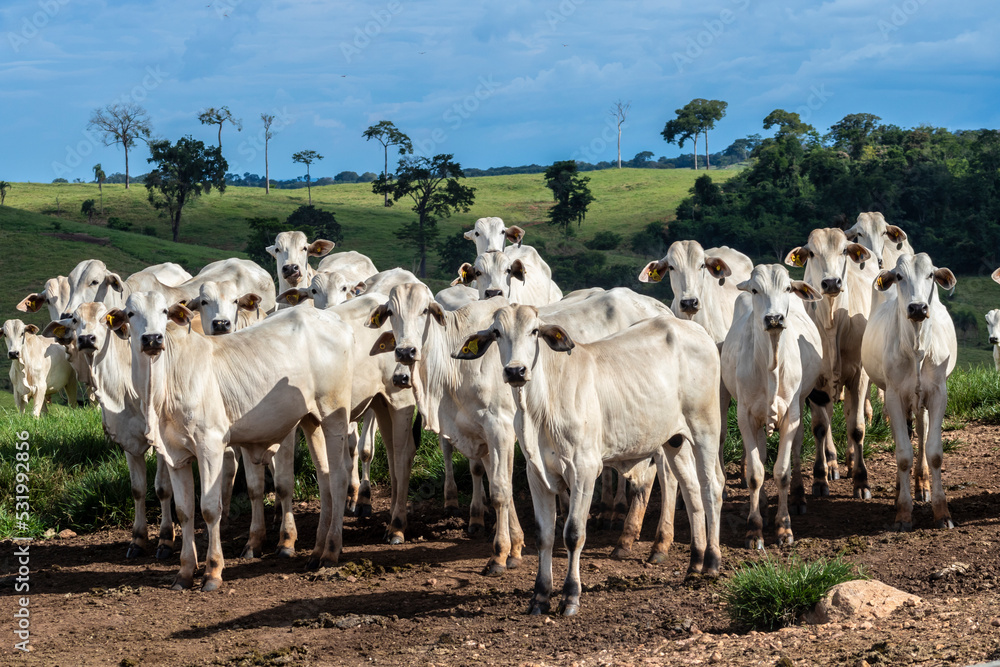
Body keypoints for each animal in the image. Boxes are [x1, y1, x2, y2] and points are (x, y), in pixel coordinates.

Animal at [108, 293, 355, 590]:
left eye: (164, 311)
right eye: (131, 313)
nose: (152, 339)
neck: (161, 389)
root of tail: (334, 320)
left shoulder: (210, 446)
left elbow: (209, 509)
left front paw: (213, 571)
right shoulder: (175, 455)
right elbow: (185, 511)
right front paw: (184, 572)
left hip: (334, 413)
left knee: (339, 477)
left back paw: (331, 550)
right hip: (311, 420)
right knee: (325, 476)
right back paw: (317, 552)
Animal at [454, 306, 723, 616]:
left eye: (534, 331)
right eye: (497, 332)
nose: (515, 370)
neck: (540, 409)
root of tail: (694, 329)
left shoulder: (583, 470)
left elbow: (573, 533)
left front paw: (570, 596)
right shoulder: (537, 474)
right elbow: (544, 535)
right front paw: (540, 596)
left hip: (705, 428)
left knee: (711, 488)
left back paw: (712, 562)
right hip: (674, 440)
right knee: (691, 491)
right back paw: (695, 563)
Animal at [721, 265, 824, 548]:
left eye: (787, 288)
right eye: (756, 290)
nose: (775, 318)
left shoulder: (792, 415)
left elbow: (782, 472)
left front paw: (784, 527)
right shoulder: (745, 416)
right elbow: (755, 473)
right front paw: (754, 529)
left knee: (796, 450)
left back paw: (798, 497)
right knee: (760, 454)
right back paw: (765, 508)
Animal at [786, 228, 878, 499]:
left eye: (844, 250)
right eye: (811, 253)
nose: (831, 283)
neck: (832, 319)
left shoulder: (859, 376)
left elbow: (856, 426)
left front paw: (861, 480)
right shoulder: (816, 382)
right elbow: (819, 427)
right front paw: (820, 478)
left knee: (848, 414)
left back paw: (850, 460)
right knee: (826, 420)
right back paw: (833, 462)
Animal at [861, 253, 958, 531]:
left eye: (930, 274)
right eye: (899, 276)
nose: (917, 308)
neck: (916, 347)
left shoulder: (938, 394)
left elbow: (934, 451)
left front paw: (941, 511)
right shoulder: (894, 396)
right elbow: (903, 454)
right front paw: (903, 513)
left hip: (921, 399)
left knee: (922, 432)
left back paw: (922, 484)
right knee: (903, 435)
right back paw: (898, 491)